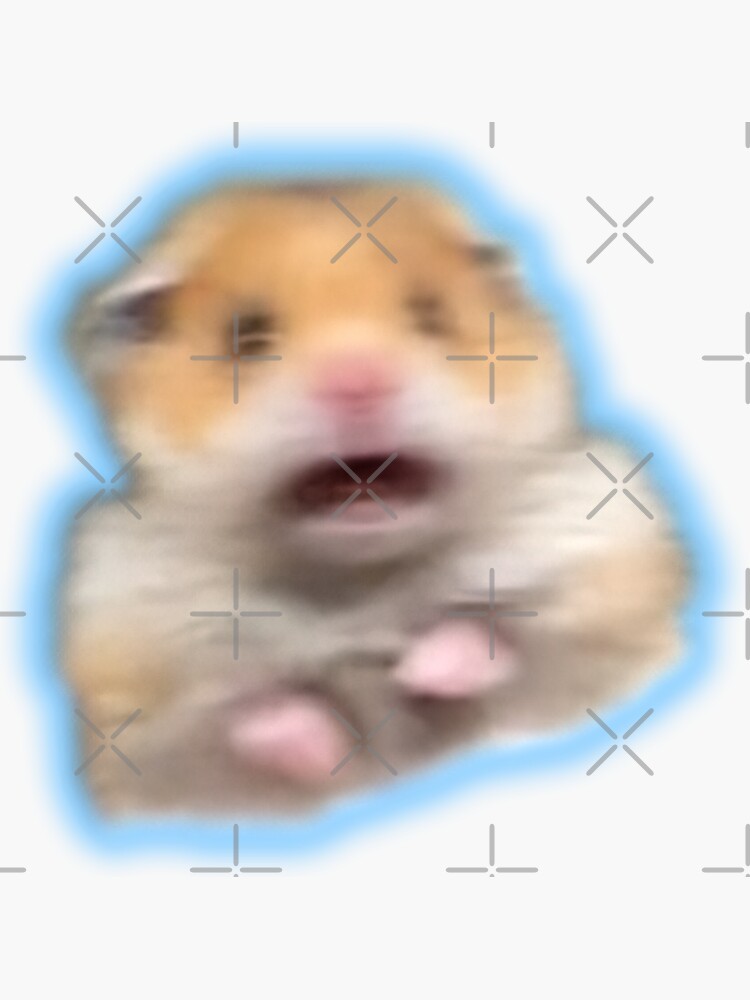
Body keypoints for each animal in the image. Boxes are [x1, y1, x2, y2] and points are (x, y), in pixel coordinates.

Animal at [61, 182, 687, 816]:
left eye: (431, 316)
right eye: (247, 335)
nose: (360, 383)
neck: (360, 580)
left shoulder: (605, 573)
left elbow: (500, 634)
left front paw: (424, 674)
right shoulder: (133, 677)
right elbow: (246, 714)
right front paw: (322, 753)